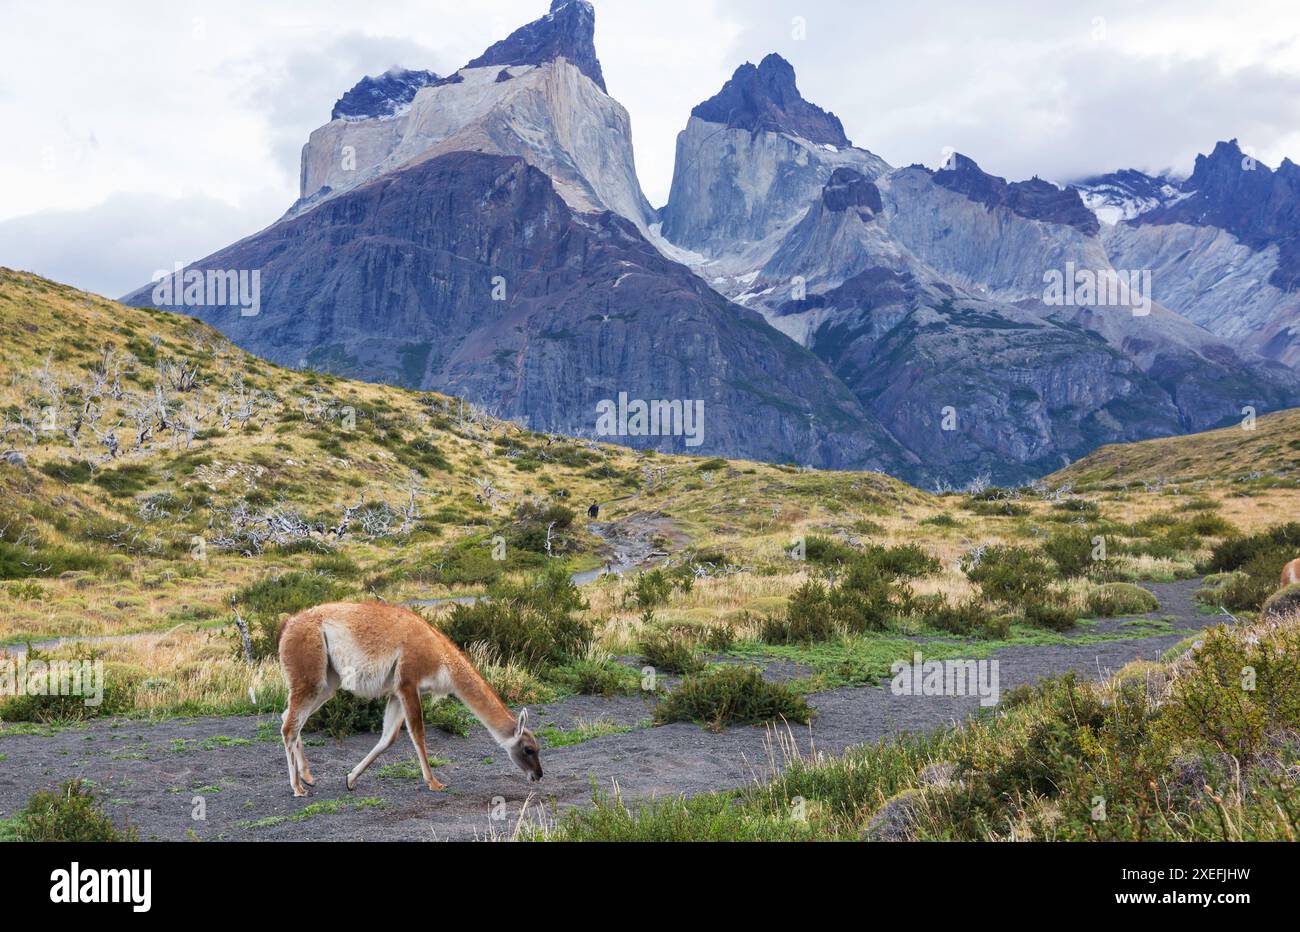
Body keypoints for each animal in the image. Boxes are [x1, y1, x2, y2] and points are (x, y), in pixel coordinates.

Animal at [277, 602, 542, 798]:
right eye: (528, 749)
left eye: (537, 748)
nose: (539, 775)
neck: (441, 657)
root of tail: (288, 623)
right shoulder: (408, 683)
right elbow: (417, 733)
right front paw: (434, 782)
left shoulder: (397, 692)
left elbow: (388, 738)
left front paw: (350, 778)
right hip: (309, 675)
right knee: (289, 727)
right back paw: (297, 787)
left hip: (327, 683)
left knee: (288, 717)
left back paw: (307, 776)